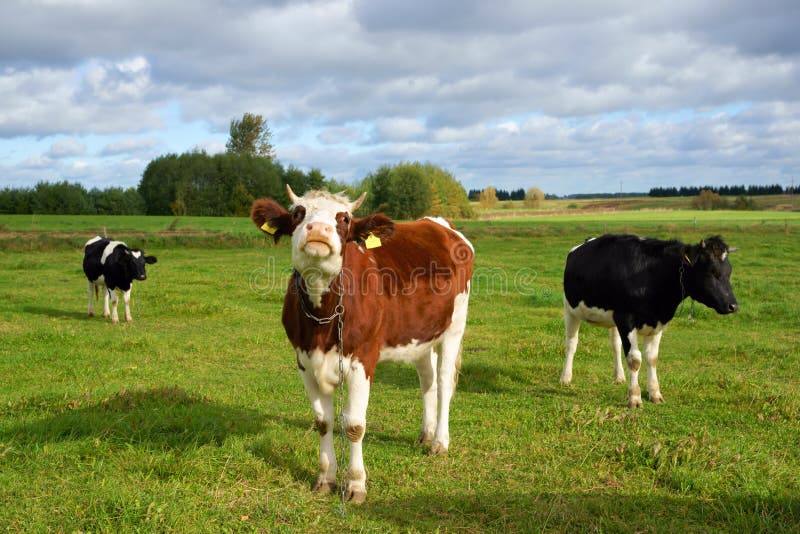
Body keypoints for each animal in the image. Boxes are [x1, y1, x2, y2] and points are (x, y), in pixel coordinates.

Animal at [250, 185, 474, 503]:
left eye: (343, 218)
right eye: (298, 213)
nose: (318, 230)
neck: (322, 317)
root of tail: (438, 223)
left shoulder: (362, 361)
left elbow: (354, 425)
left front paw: (356, 485)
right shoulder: (304, 361)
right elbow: (323, 422)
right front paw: (325, 479)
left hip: (455, 326)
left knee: (444, 382)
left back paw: (440, 442)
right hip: (421, 334)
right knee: (427, 379)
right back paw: (426, 434)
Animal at [560, 234, 738, 408]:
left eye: (729, 272)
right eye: (711, 271)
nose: (733, 306)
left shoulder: (657, 322)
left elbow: (652, 358)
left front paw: (655, 394)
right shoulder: (626, 319)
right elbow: (634, 359)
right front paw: (634, 397)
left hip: (612, 320)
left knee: (615, 345)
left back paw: (619, 376)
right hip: (570, 310)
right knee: (571, 343)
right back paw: (565, 377)